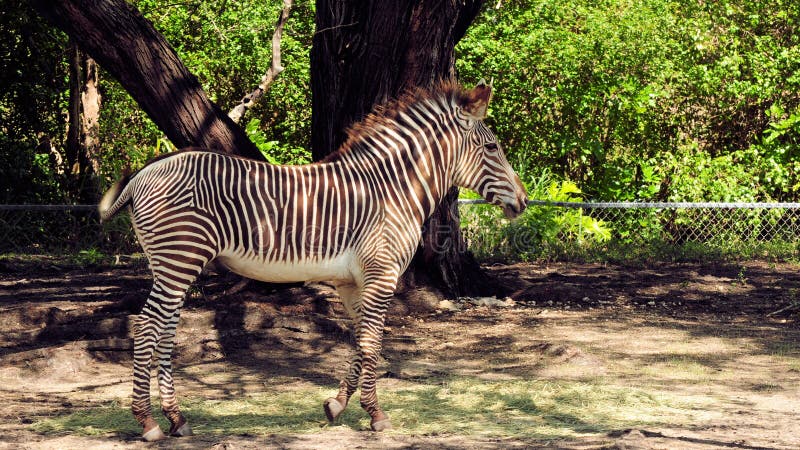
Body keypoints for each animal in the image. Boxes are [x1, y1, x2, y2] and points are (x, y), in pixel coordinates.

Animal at [99, 80, 527, 441]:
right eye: (492, 148)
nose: (523, 202)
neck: (392, 191)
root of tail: (144, 172)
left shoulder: (353, 282)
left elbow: (361, 340)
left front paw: (338, 405)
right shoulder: (382, 275)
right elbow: (373, 342)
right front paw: (376, 414)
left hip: (172, 265)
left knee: (163, 331)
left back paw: (176, 418)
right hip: (178, 261)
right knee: (146, 328)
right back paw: (149, 422)